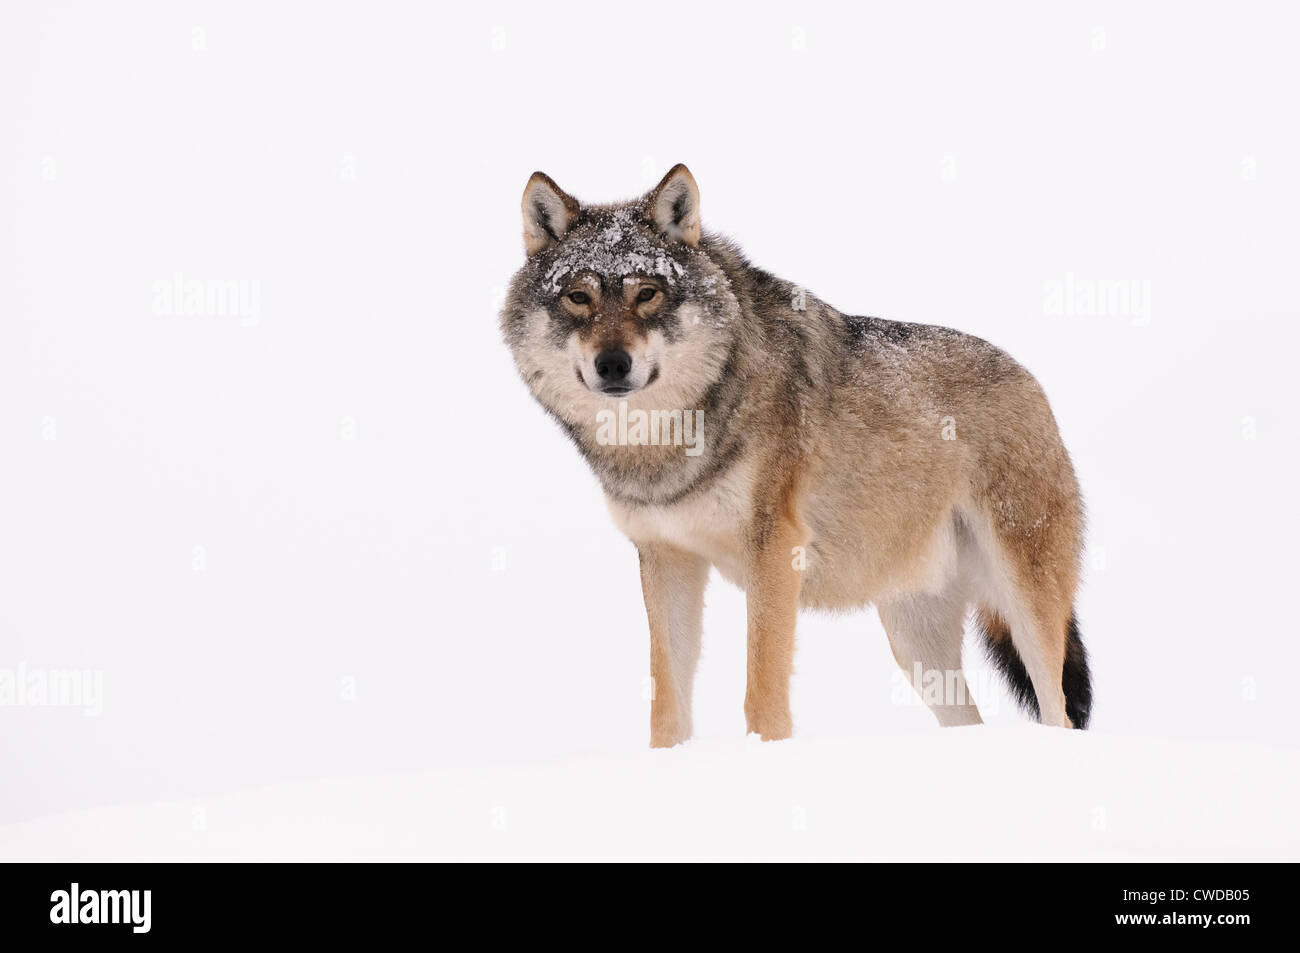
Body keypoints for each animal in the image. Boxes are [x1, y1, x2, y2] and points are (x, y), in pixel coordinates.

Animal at [501, 164, 1092, 747]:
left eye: (647, 293)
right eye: (578, 297)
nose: (613, 364)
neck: (662, 443)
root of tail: (1032, 382)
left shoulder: (773, 547)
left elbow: (761, 688)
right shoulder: (665, 556)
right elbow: (667, 704)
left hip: (1024, 603)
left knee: (1058, 711)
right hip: (915, 643)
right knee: (969, 721)